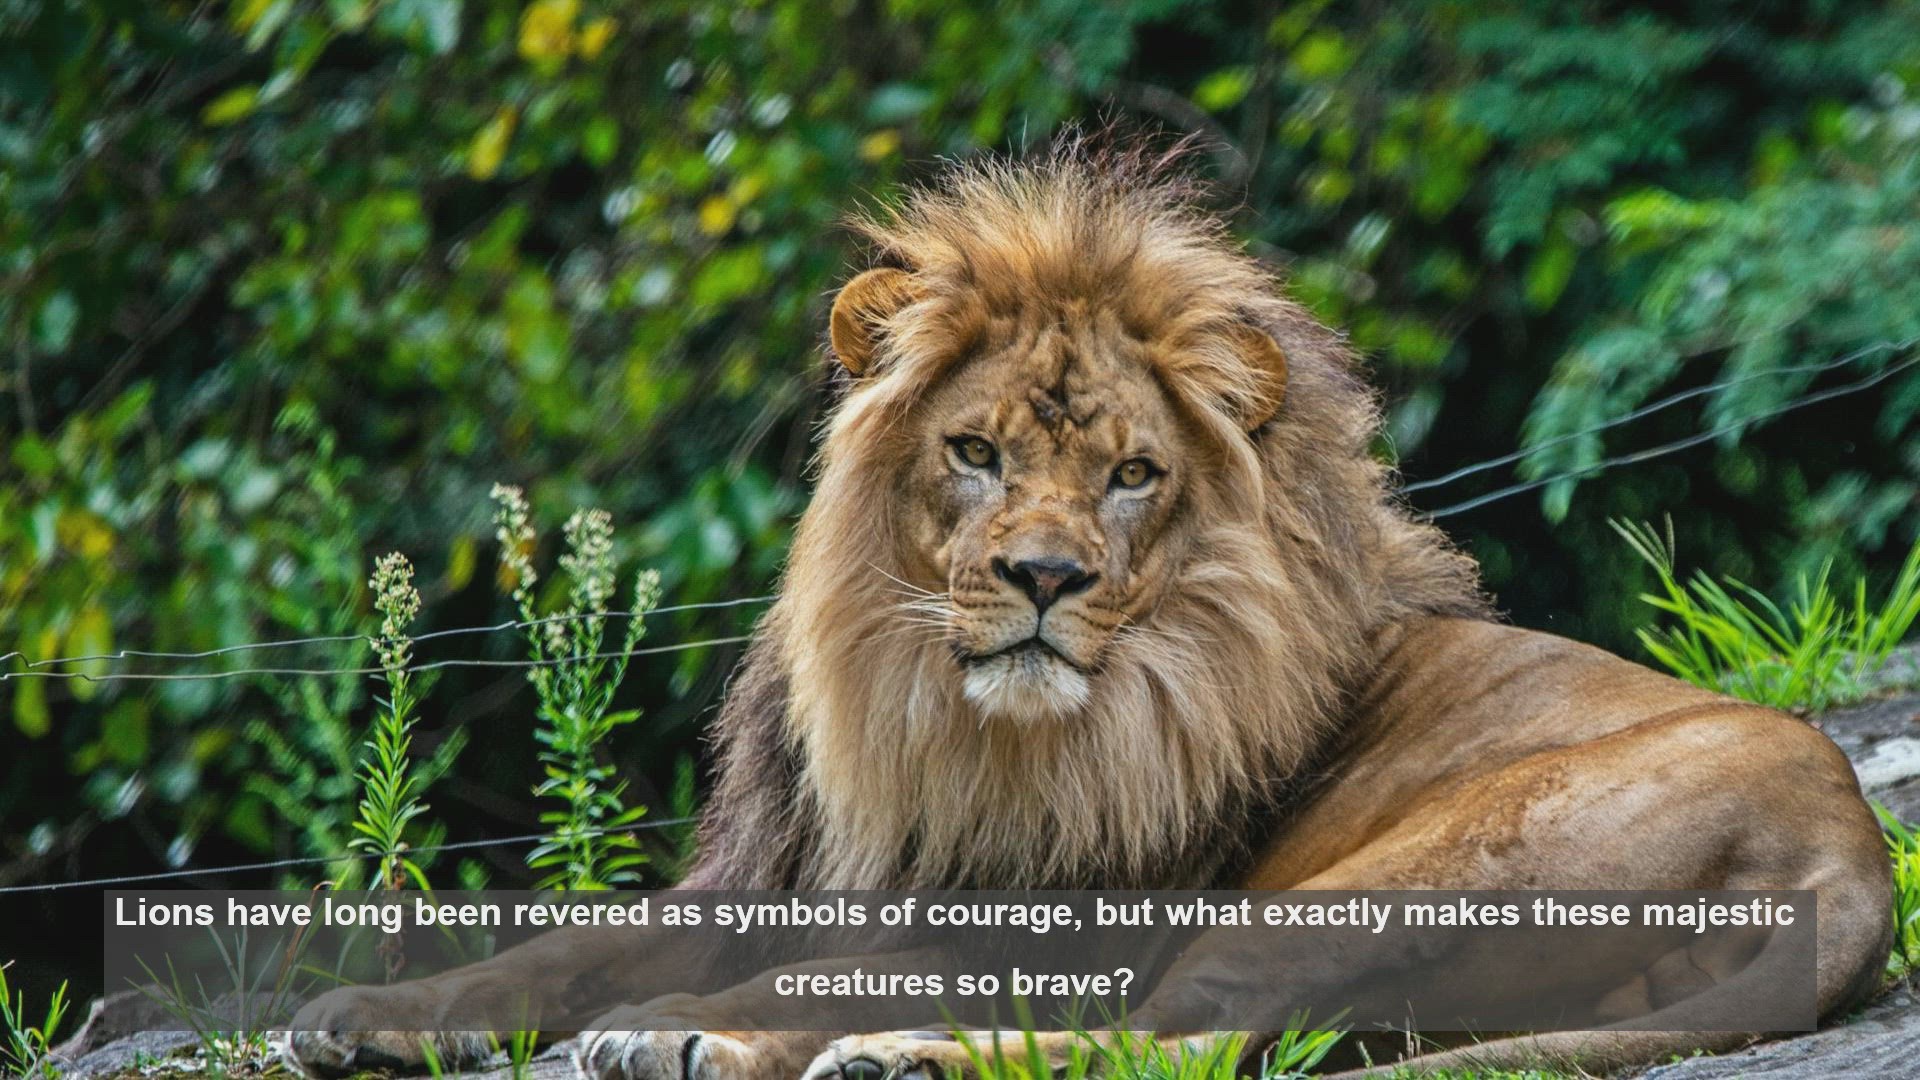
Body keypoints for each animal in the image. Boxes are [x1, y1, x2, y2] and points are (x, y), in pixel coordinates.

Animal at [282, 141, 1891, 1079]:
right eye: (976, 452)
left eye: (1130, 475)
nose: (1045, 580)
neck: (929, 724)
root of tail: (1850, 859)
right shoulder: (789, 873)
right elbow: (567, 945)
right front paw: (367, 1018)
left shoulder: (1053, 903)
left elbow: (815, 972)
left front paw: (679, 1030)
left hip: (1391, 875)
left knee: (1176, 1043)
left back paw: (885, 1054)